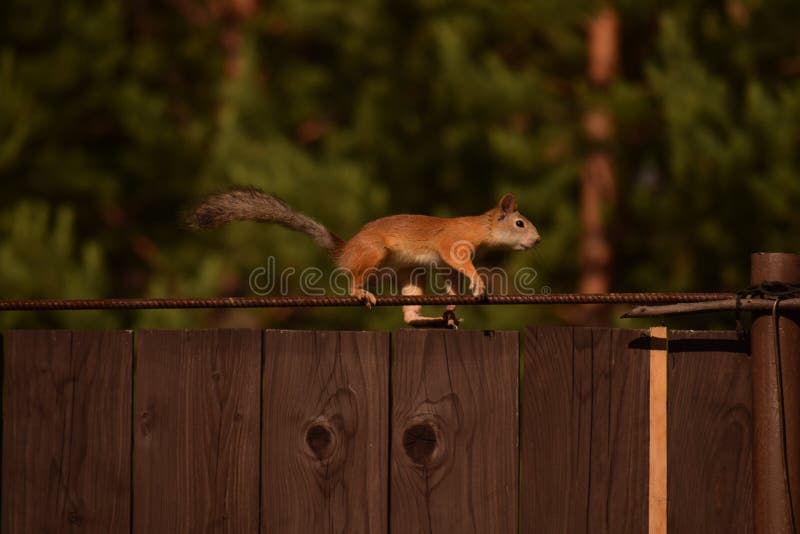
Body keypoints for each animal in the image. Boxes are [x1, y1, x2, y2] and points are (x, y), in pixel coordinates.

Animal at [187, 187, 541, 327]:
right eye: (519, 223)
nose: (537, 239)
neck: (481, 226)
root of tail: (347, 249)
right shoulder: (453, 244)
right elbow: (461, 264)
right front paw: (479, 283)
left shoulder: (443, 266)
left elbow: (452, 282)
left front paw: (453, 308)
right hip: (375, 253)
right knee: (355, 280)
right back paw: (360, 292)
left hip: (411, 274)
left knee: (409, 316)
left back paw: (432, 320)